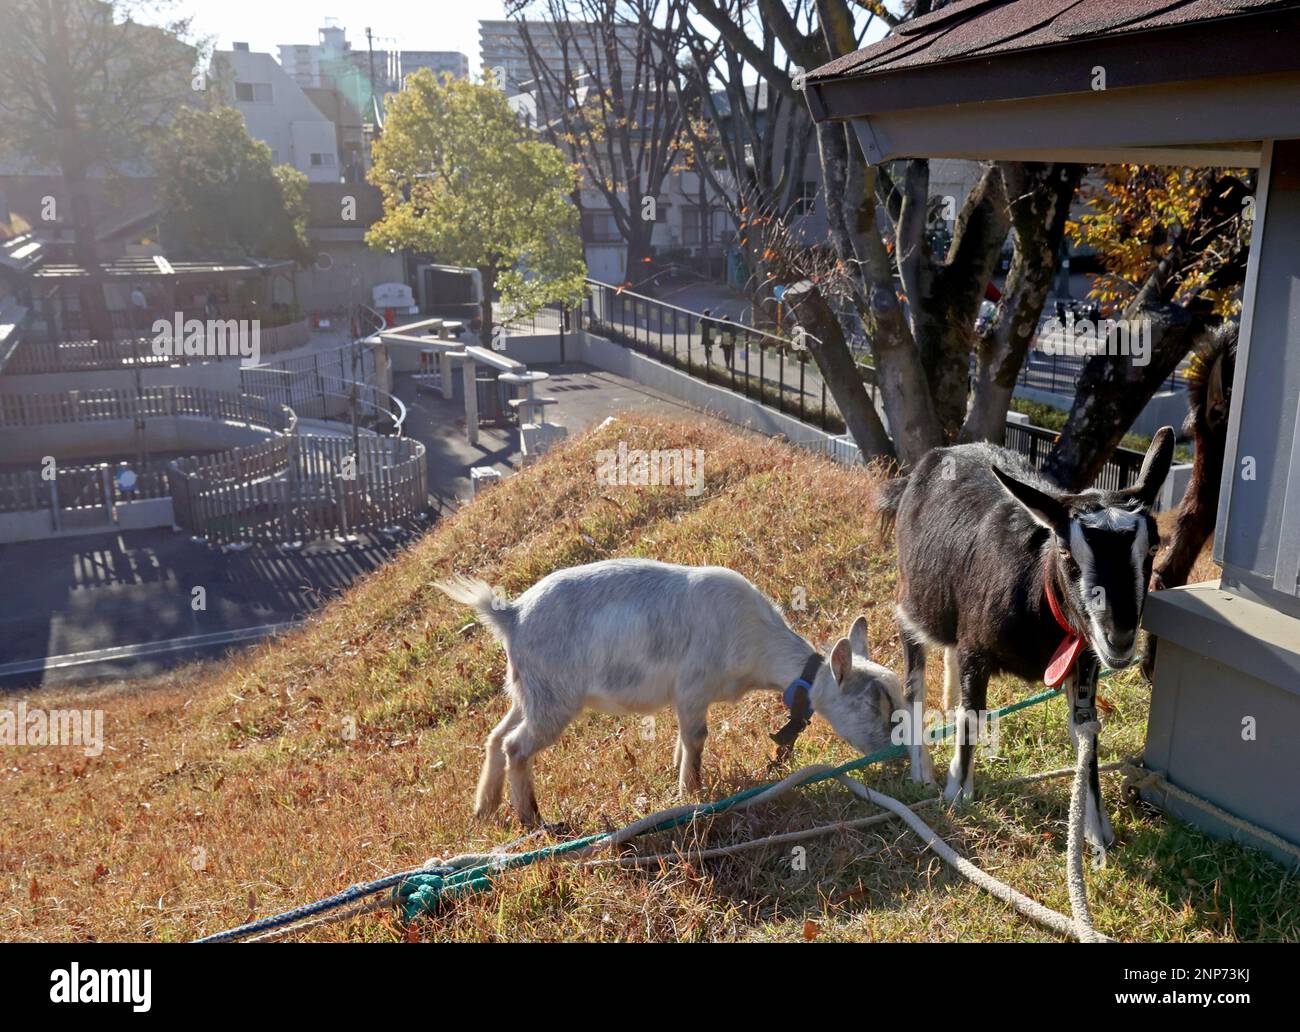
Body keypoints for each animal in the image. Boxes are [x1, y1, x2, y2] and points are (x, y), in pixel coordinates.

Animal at [436, 558, 901, 827]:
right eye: (876, 705)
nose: (896, 754)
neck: (756, 640)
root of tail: (511, 615)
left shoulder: (685, 699)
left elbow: (683, 739)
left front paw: (678, 775)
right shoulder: (694, 688)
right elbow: (696, 738)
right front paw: (690, 794)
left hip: (527, 692)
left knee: (496, 737)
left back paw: (484, 811)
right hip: (553, 699)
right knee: (516, 746)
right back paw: (533, 821)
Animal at [876, 428, 1175, 856]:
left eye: (1151, 548)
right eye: (1066, 552)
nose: (1119, 639)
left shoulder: (1085, 658)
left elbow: (1086, 736)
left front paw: (1097, 833)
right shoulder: (975, 650)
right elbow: (971, 718)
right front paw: (956, 796)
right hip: (910, 599)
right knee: (915, 678)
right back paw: (922, 769)